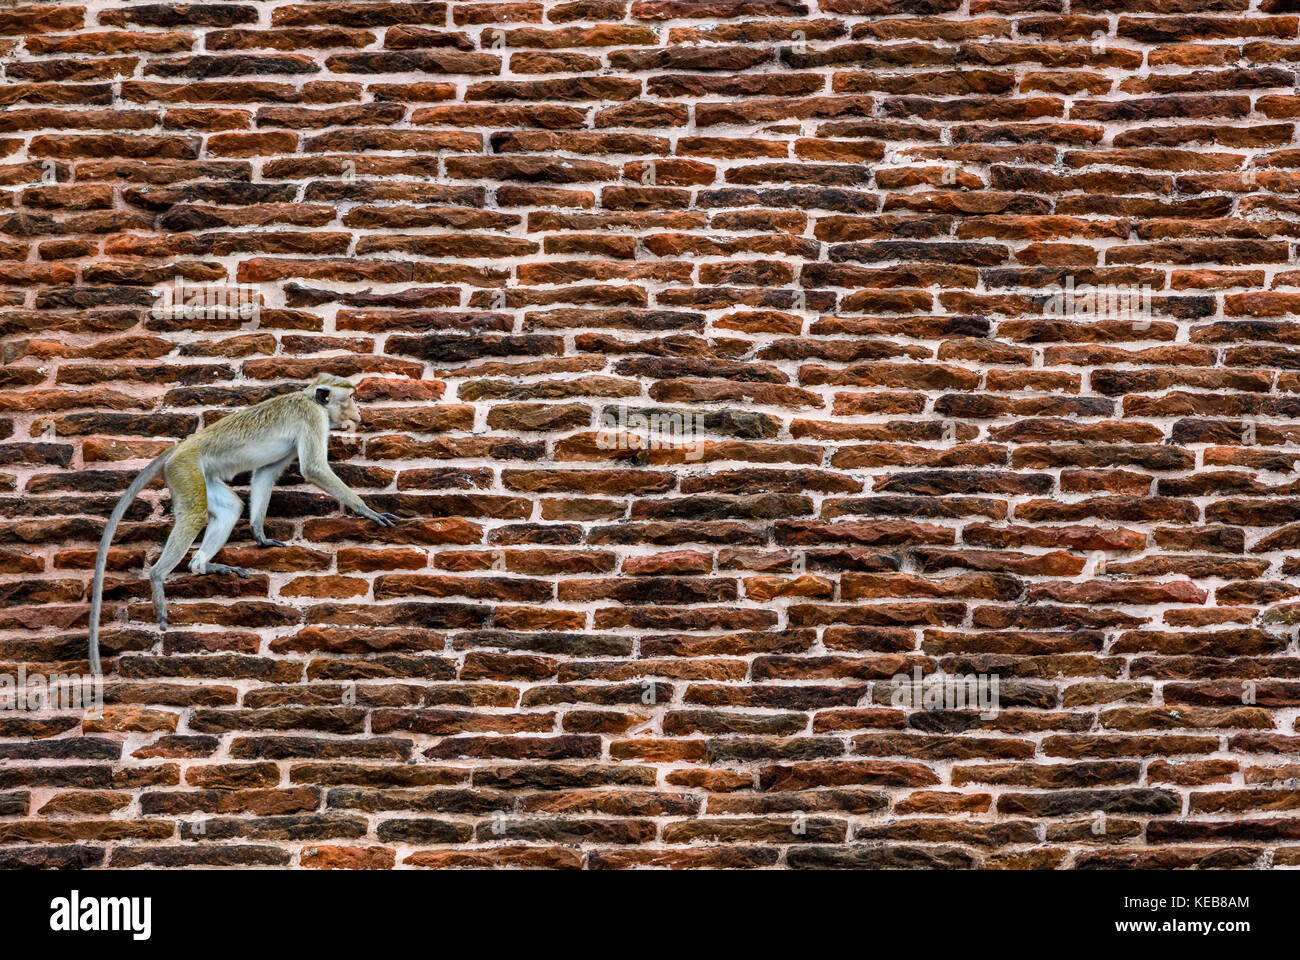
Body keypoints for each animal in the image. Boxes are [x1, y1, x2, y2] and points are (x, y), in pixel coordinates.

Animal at [87, 373, 398, 676]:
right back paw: (158, 577)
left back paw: (203, 565)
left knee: (230, 509)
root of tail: (180, 447)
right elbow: (314, 469)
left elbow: (266, 473)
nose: (358, 414)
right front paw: (368, 510)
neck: (311, 398)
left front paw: (259, 533)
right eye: (351, 397)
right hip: (184, 469)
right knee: (195, 514)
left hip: (202, 475)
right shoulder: (312, 419)